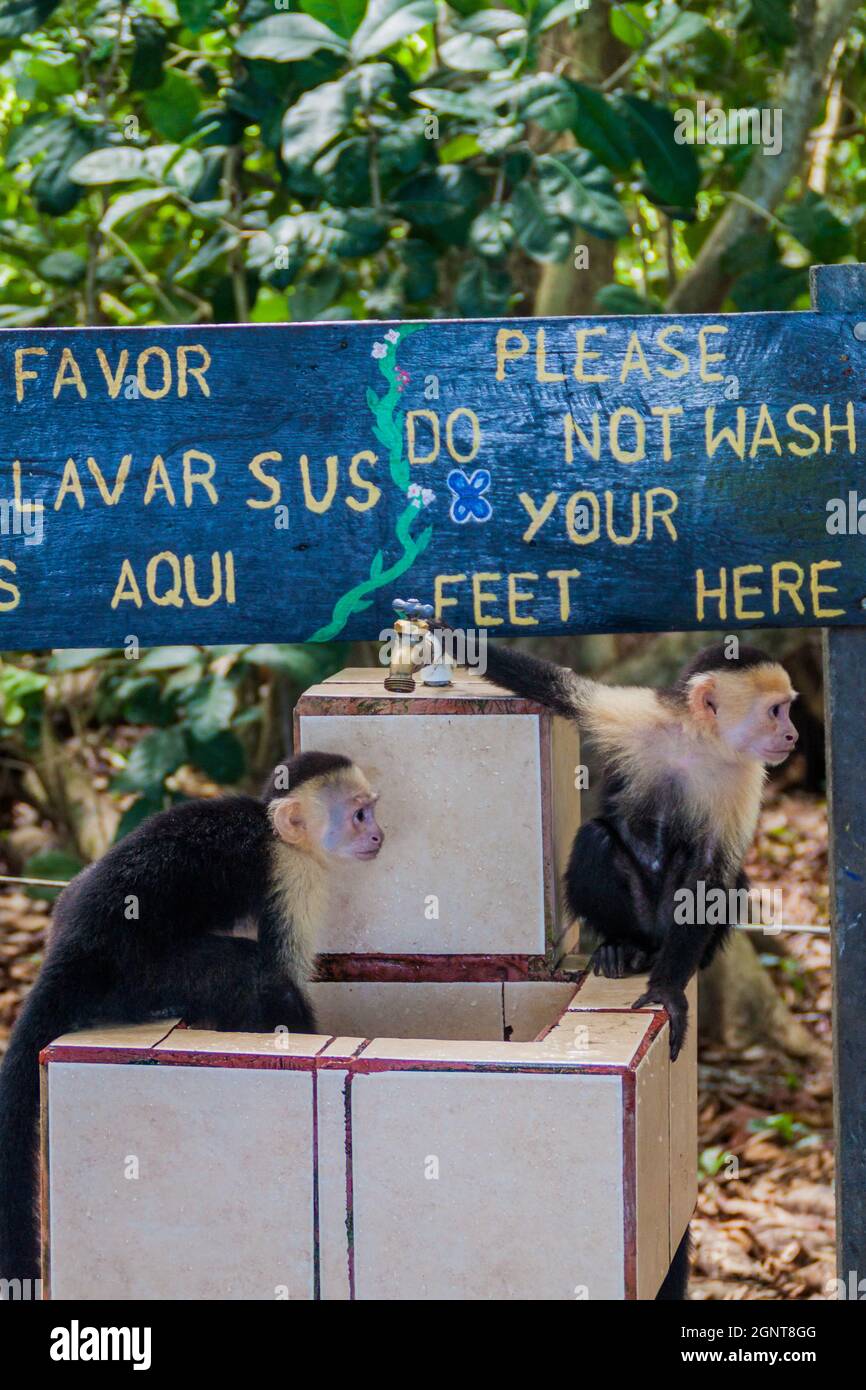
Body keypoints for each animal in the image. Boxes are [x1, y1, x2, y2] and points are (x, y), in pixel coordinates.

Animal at [0, 749, 383, 1286]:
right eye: (358, 815)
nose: (379, 835)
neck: (272, 827)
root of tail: (71, 954)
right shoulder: (290, 872)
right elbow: (281, 976)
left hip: (71, 913)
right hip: (147, 976)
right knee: (249, 972)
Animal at [480, 640, 798, 1062]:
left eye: (786, 709)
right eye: (776, 711)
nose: (793, 735)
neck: (699, 742)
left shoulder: (746, 774)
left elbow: (711, 877)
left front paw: (666, 992)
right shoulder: (640, 715)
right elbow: (556, 688)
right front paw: (441, 632)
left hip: (666, 924)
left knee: (733, 882)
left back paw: (669, 959)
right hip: (638, 916)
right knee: (596, 838)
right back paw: (621, 949)